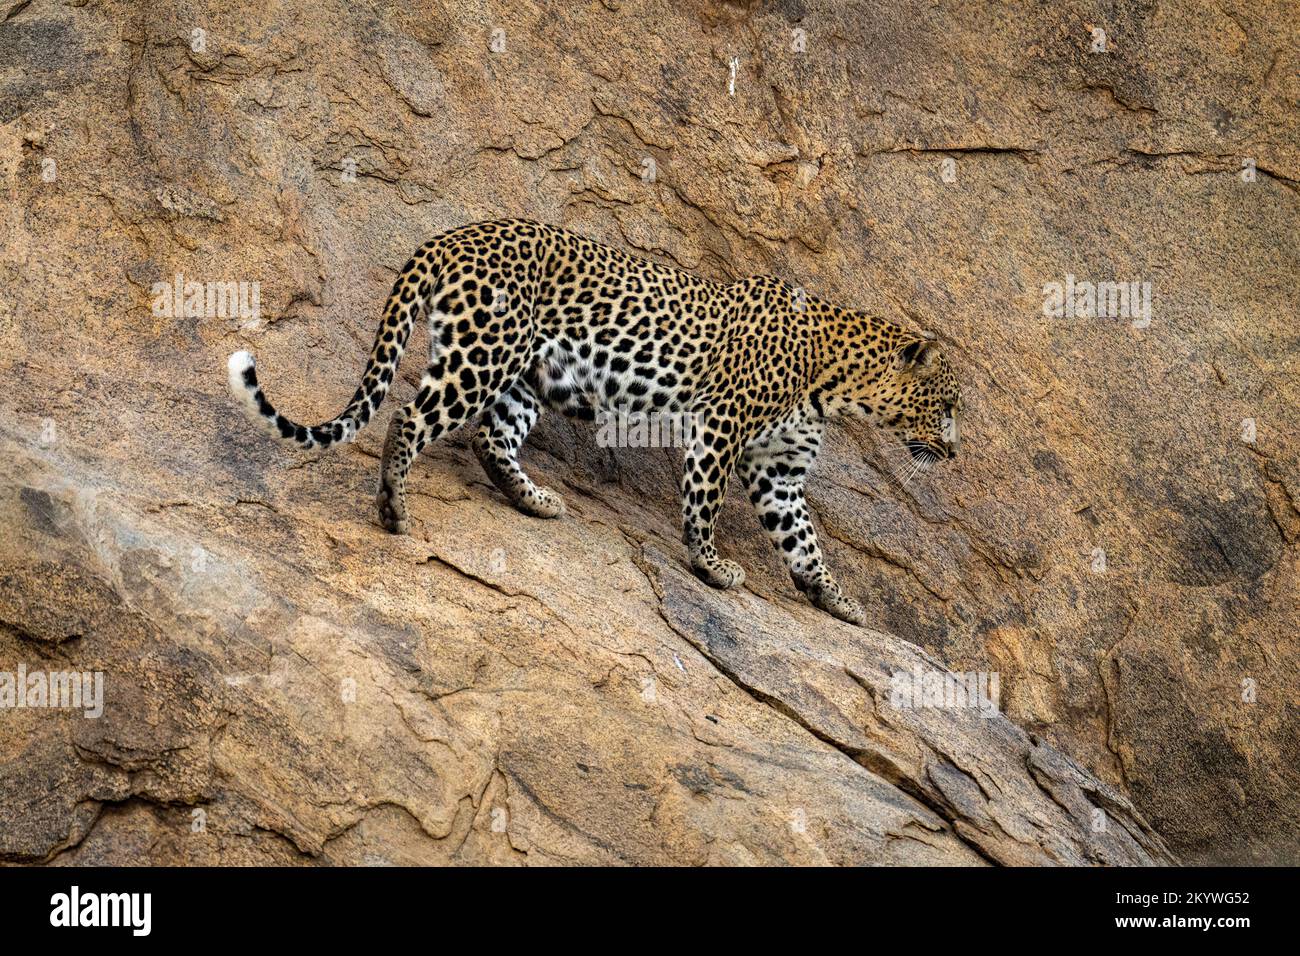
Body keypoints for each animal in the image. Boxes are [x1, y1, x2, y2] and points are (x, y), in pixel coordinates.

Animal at [227, 218, 962, 625]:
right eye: (949, 405)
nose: (955, 455)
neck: (835, 380)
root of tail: (453, 236)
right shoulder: (721, 428)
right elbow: (705, 503)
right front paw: (711, 567)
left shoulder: (778, 471)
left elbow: (805, 543)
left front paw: (838, 602)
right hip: (482, 356)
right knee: (410, 416)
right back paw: (395, 510)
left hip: (529, 374)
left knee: (492, 437)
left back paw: (534, 501)